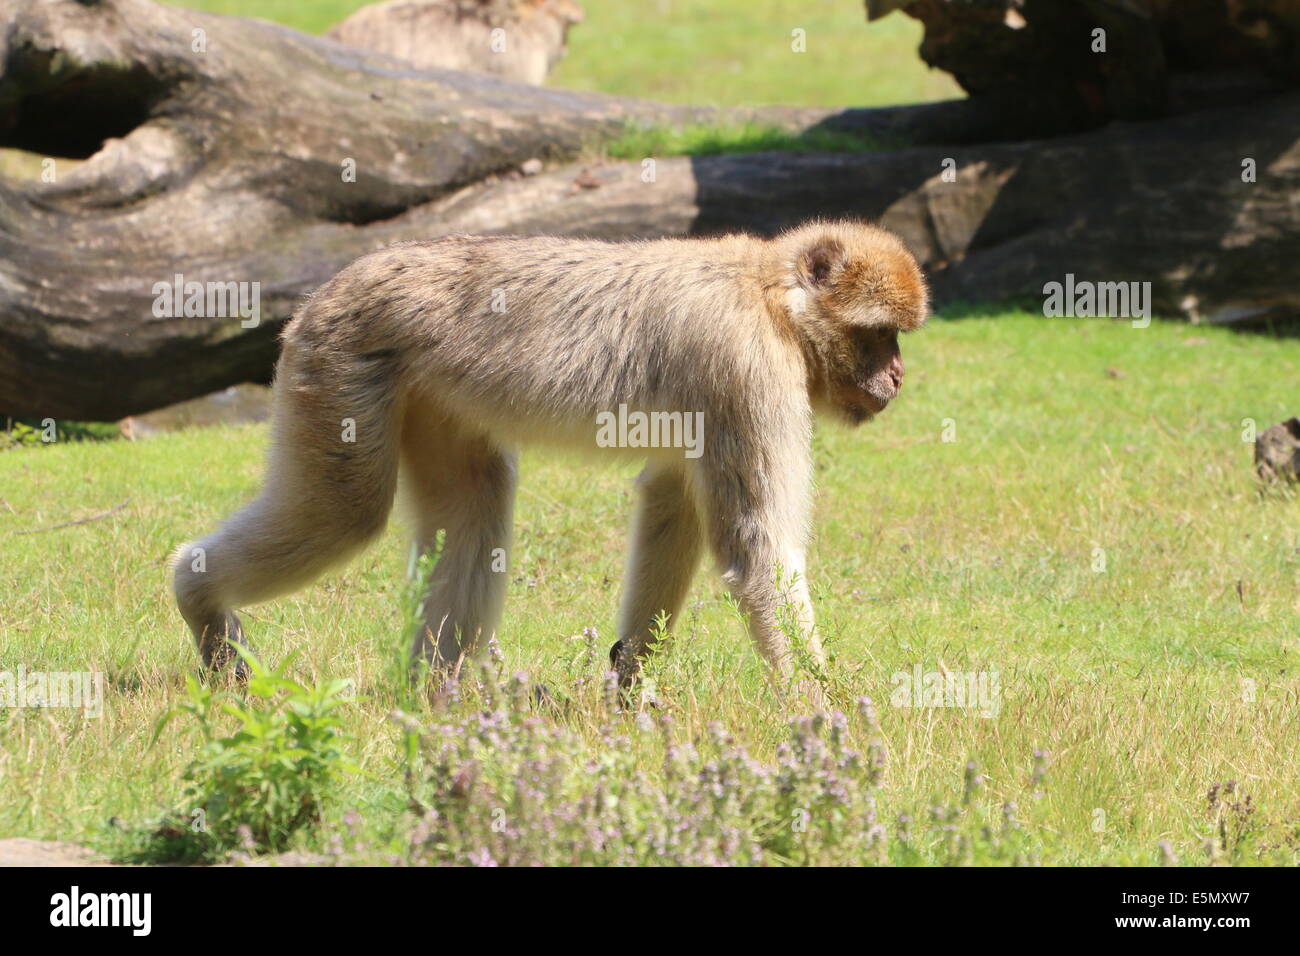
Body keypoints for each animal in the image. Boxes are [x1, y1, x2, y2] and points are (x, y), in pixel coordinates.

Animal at [172, 220, 927, 704]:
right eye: (878, 335)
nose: (896, 377)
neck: (770, 296)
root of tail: (325, 290)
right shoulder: (746, 371)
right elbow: (756, 545)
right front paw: (821, 713)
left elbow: (672, 498)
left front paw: (627, 683)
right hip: (340, 365)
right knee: (346, 514)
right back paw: (198, 591)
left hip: (427, 399)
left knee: (472, 514)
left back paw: (438, 697)